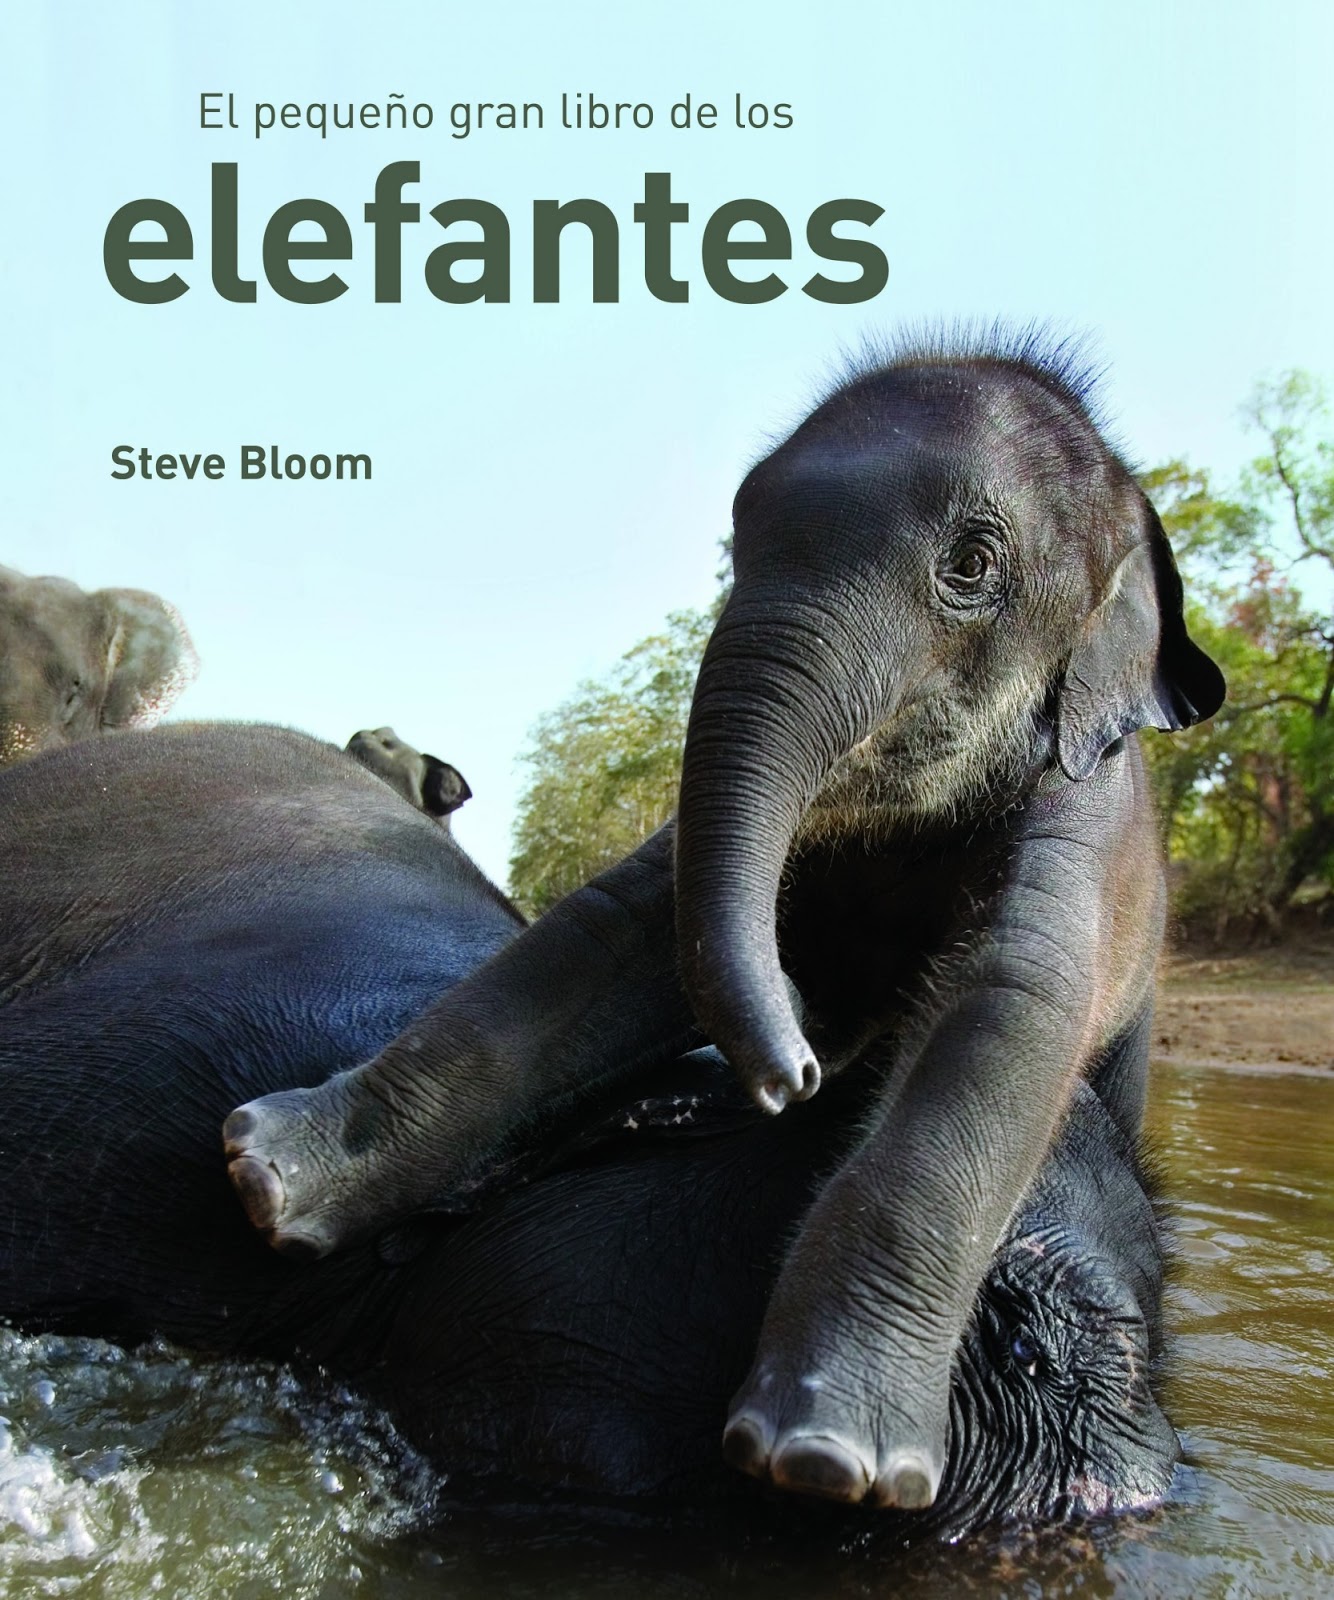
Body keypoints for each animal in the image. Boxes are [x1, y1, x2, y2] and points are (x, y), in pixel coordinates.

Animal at [224, 329, 1224, 1511]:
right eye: (738, 537)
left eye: (972, 565)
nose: (794, 1070)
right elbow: (617, 933)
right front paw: (263, 1177)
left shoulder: (1082, 824)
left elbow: (1002, 1014)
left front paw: (828, 1461)